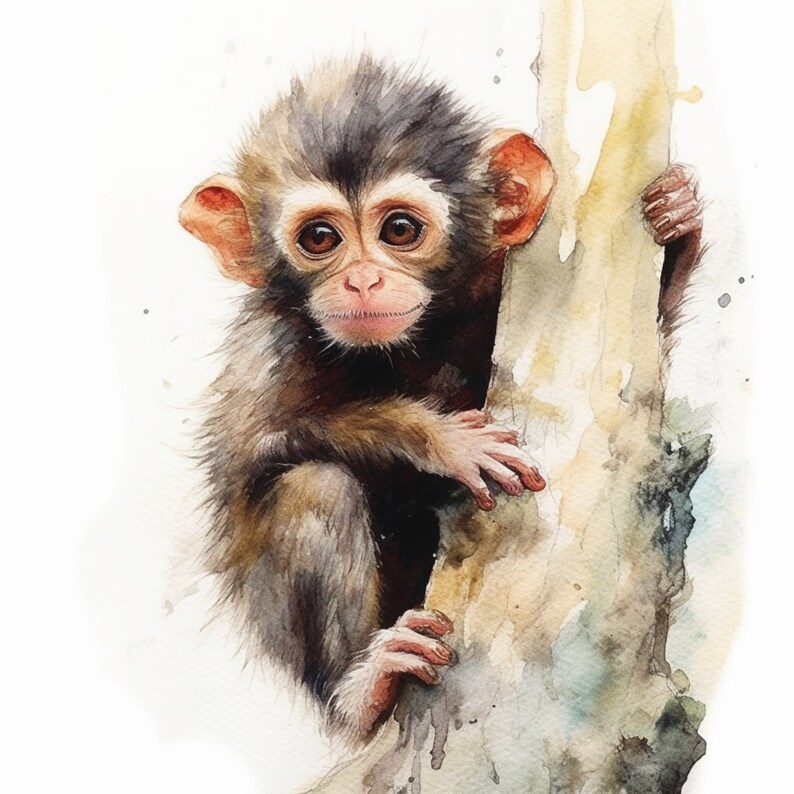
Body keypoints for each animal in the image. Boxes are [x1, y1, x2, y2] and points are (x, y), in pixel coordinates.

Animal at [178, 57, 703, 745]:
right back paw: (364, 693)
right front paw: (447, 442)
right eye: (320, 238)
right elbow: (254, 449)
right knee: (315, 490)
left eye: (399, 229)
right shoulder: (271, 345)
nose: (362, 280)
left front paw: (679, 227)